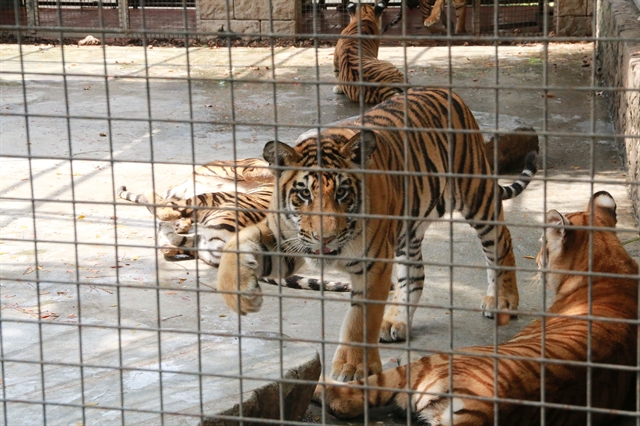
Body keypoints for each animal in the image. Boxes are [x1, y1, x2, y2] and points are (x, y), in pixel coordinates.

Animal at [216, 87, 538, 382]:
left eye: (342, 193)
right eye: (304, 194)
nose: (324, 238)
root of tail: (447, 91)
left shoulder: (373, 263)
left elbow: (360, 319)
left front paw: (353, 367)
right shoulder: (285, 238)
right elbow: (235, 244)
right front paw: (241, 295)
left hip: (476, 196)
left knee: (501, 241)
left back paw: (502, 300)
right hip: (408, 230)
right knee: (415, 275)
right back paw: (395, 321)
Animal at [314, 191, 638, 425]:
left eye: (543, 246)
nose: (535, 260)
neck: (610, 262)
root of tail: (484, 409)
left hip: (424, 364)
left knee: (342, 399)